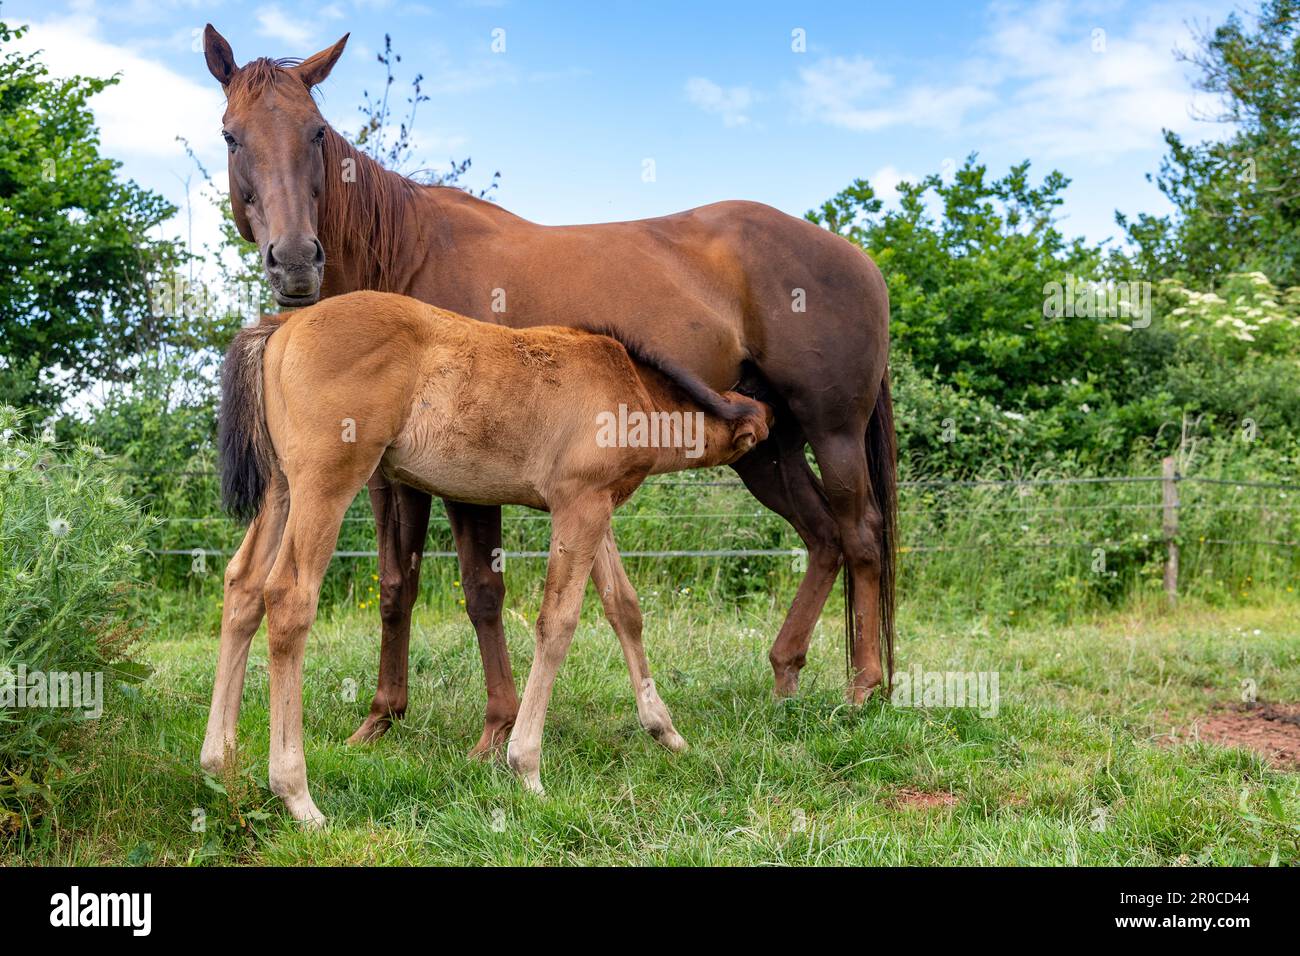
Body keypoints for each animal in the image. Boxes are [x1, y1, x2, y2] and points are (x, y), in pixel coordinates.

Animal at [201, 25, 896, 758]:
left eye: (315, 133)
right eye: (231, 136)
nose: (295, 261)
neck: (408, 258)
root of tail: (859, 259)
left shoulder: (468, 482)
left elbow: (483, 589)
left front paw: (497, 725)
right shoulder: (393, 478)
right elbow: (396, 584)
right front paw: (382, 716)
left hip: (833, 433)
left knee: (860, 536)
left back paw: (861, 689)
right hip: (765, 449)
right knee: (823, 538)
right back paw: (786, 675)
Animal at [203, 290, 773, 823]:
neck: (629, 385)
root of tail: (284, 324)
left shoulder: (594, 508)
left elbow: (624, 609)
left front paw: (665, 731)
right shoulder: (579, 506)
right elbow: (557, 623)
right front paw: (526, 766)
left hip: (281, 487)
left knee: (243, 586)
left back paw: (219, 762)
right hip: (325, 482)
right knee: (288, 597)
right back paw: (297, 796)